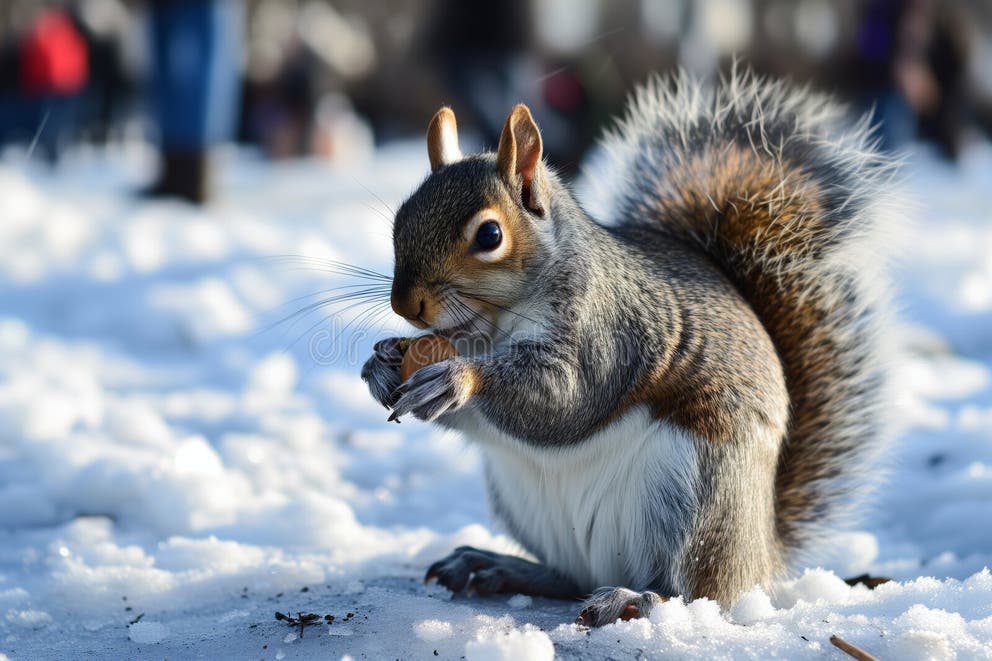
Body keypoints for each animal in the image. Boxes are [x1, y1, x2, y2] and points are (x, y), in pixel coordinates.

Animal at [361, 69, 896, 627]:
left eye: (489, 235)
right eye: (399, 220)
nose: (406, 304)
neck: (495, 327)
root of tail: (761, 556)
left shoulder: (609, 332)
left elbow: (565, 398)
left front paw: (458, 378)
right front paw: (381, 365)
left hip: (694, 496)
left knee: (697, 590)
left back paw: (635, 596)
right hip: (527, 501)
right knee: (571, 575)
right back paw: (497, 565)